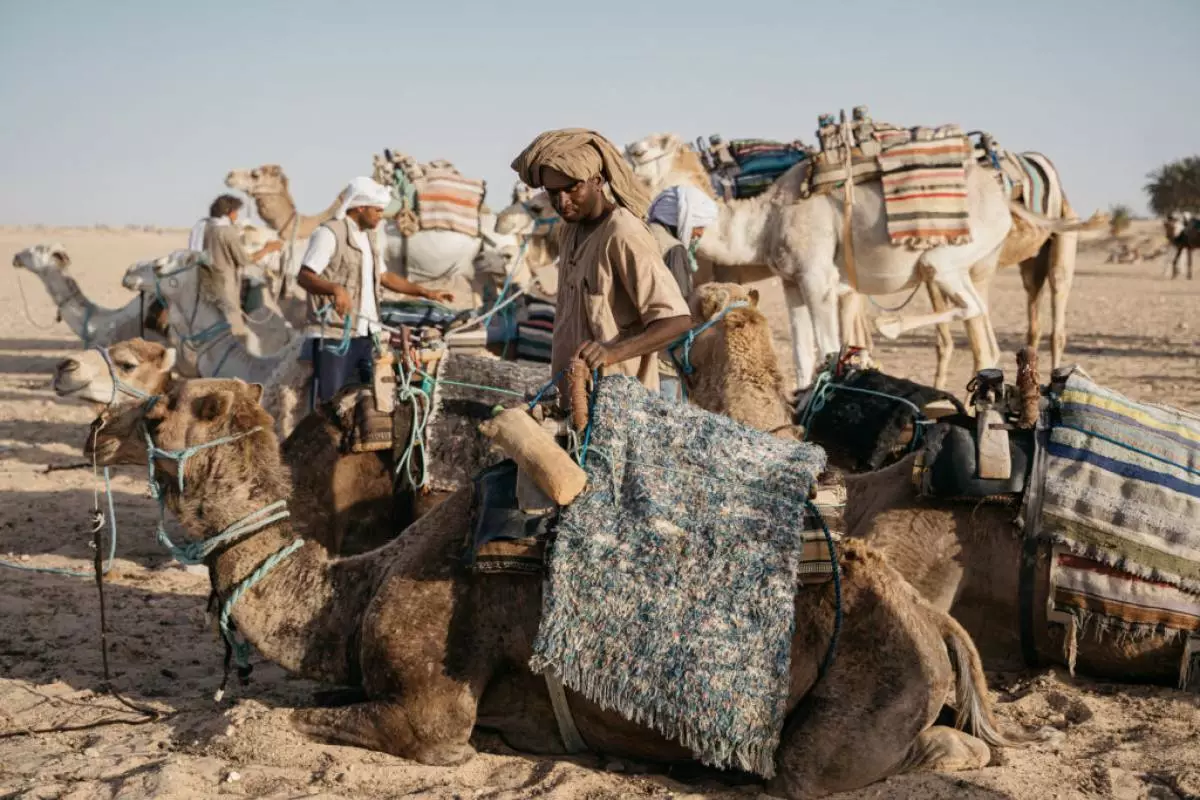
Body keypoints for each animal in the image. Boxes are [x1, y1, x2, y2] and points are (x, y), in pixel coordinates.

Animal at [88, 379, 1036, 796]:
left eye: (169, 404)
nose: (104, 423)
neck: (353, 587)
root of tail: (936, 626)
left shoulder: (430, 709)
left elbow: (299, 719)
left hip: (863, 697)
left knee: (834, 767)